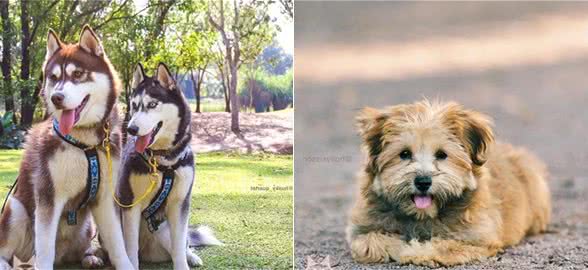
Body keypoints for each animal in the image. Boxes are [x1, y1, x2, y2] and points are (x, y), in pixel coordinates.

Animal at [346, 100, 548, 266]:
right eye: (404, 154)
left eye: (442, 154)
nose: (423, 181)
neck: (423, 216)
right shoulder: (361, 230)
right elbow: (370, 240)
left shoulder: (478, 237)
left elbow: (442, 246)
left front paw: (411, 250)